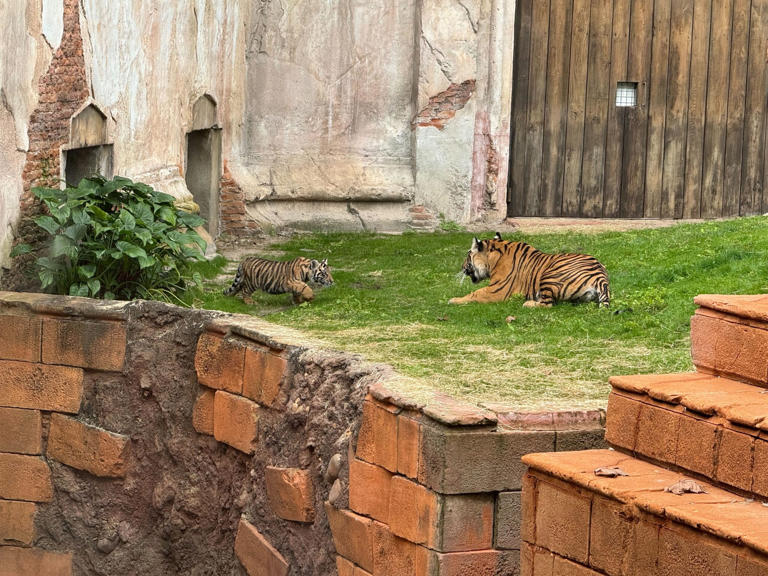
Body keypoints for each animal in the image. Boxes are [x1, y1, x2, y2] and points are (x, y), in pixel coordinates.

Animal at [449, 233, 610, 308]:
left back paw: (528, 303)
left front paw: (453, 300)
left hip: (549, 275)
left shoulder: (496, 290)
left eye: (468, 255)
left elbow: (474, 294)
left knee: (547, 304)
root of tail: (600, 276)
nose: (462, 267)